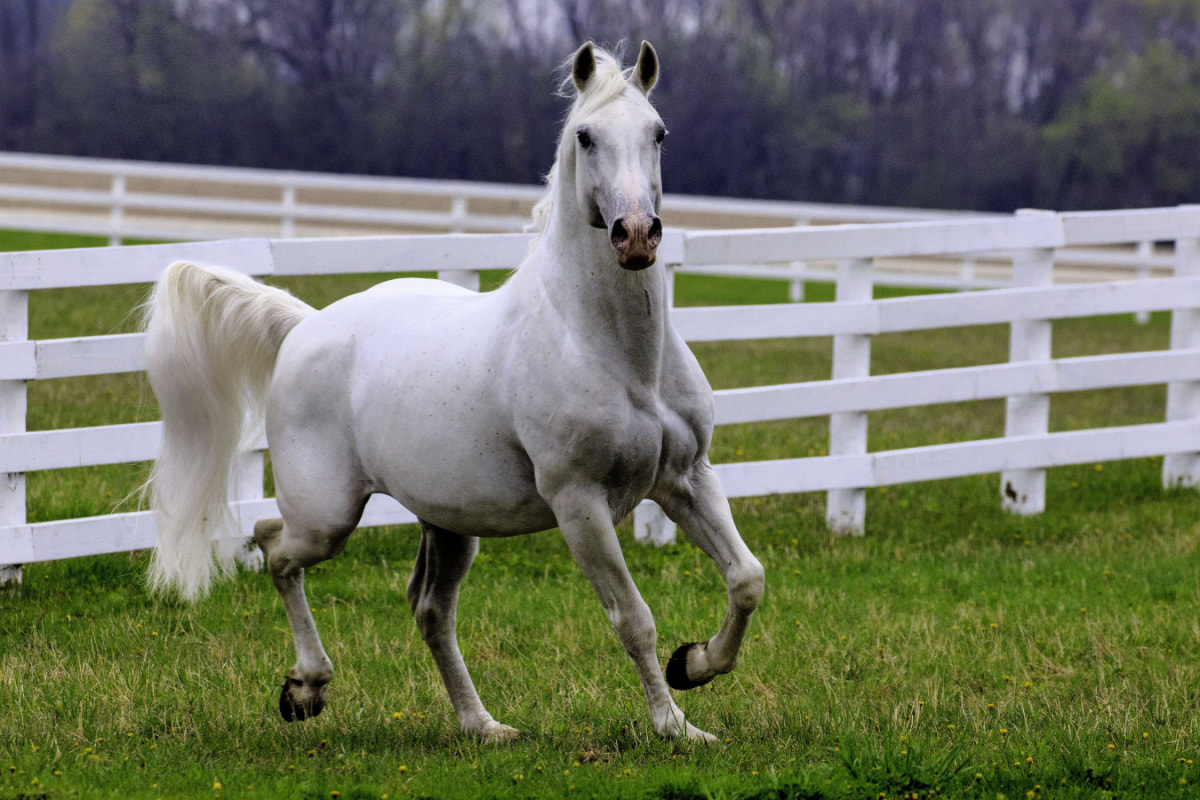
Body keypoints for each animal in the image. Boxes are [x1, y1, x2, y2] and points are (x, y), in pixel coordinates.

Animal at [142, 41, 764, 743]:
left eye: (658, 132)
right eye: (586, 135)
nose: (635, 234)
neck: (619, 356)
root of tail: (305, 327)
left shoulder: (686, 477)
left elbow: (747, 579)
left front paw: (694, 665)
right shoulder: (580, 503)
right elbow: (633, 619)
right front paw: (674, 726)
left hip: (448, 521)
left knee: (429, 608)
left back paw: (482, 726)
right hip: (327, 514)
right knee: (274, 544)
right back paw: (306, 689)